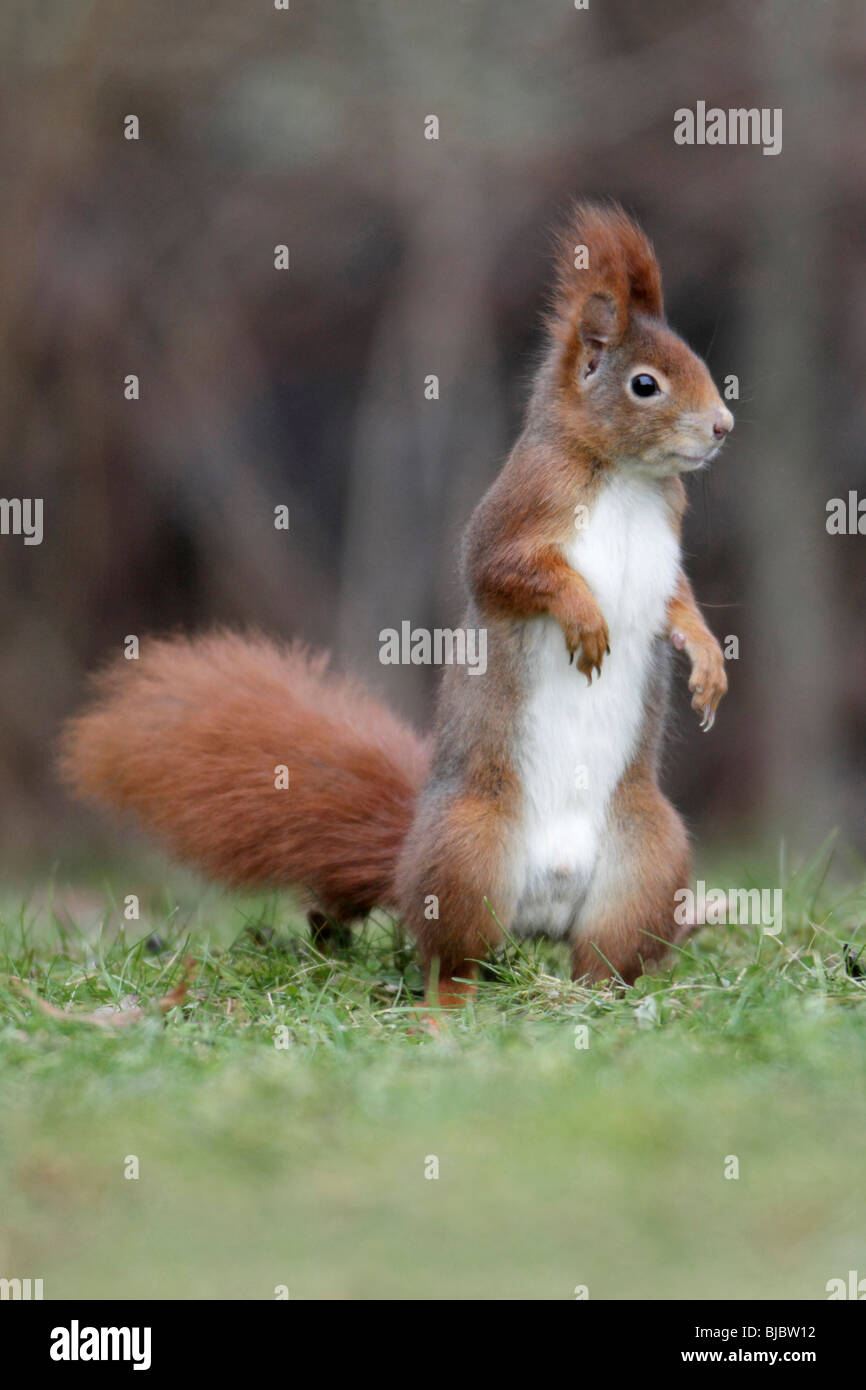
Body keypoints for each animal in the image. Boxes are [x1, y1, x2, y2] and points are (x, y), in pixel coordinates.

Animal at [60, 202, 732, 1009]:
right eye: (645, 384)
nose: (723, 425)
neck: (627, 478)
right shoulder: (520, 510)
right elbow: (504, 572)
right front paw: (586, 619)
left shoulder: (667, 546)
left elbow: (680, 605)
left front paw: (709, 664)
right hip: (468, 847)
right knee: (451, 955)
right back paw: (451, 1009)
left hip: (647, 859)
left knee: (604, 950)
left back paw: (602, 999)